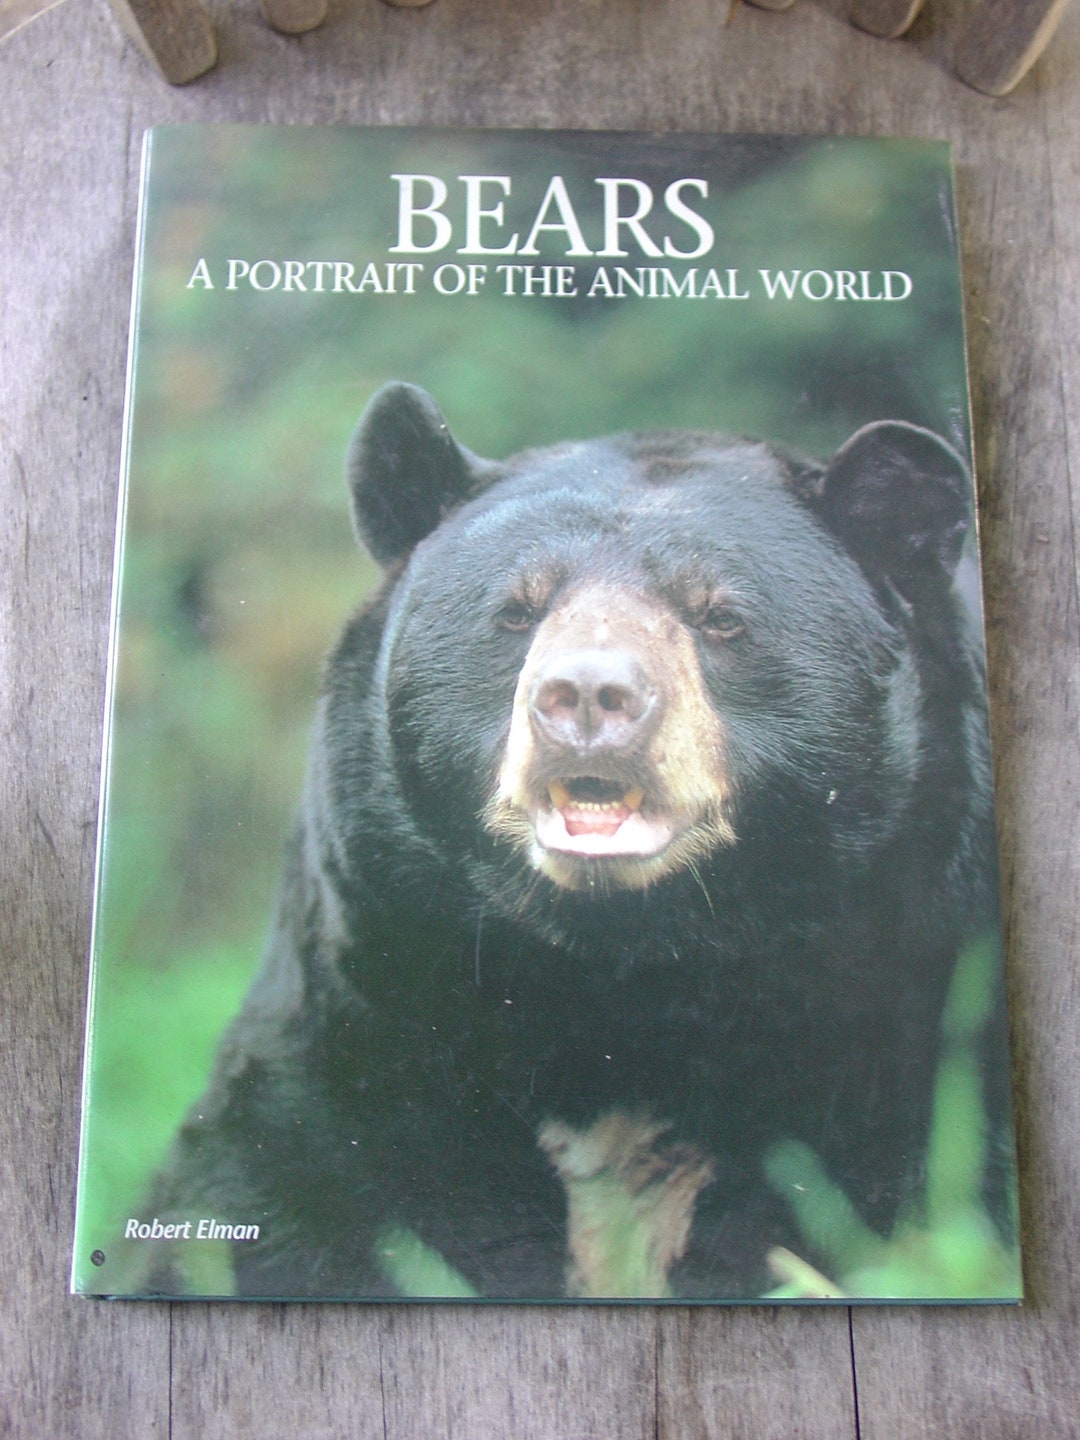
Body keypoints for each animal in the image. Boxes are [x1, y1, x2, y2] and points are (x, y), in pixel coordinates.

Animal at [148, 381, 1005, 1300]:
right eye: (517, 610)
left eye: (721, 615)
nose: (588, 695)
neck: (617, 990)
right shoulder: (363, 1023)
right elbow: (286, 1203)